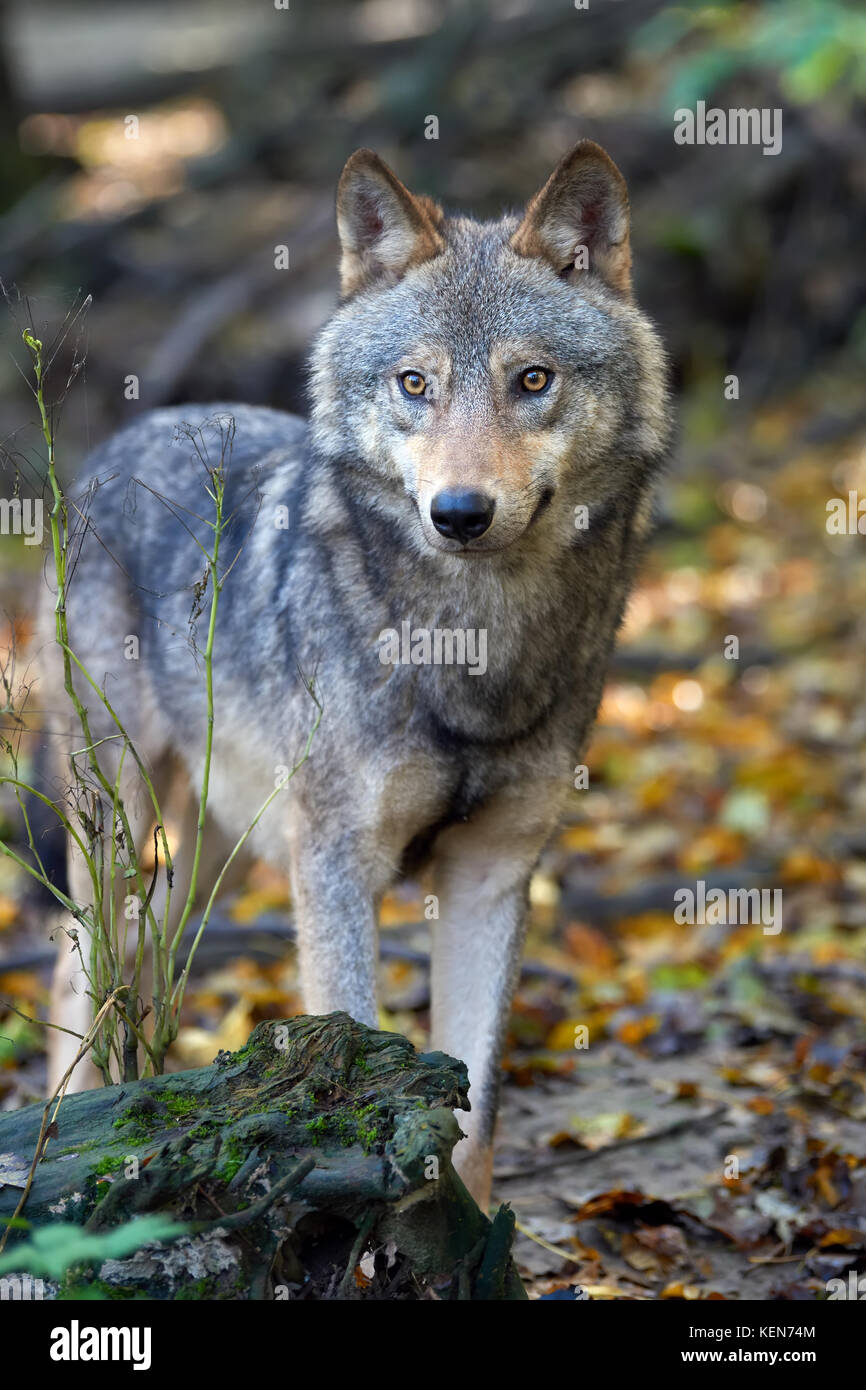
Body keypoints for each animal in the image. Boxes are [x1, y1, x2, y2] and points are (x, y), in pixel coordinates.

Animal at [38, 141, 670, 1208]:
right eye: (414, 383)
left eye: (532, 379)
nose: (459, 512)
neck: (471, 649)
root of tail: (120, 440)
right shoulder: (334, 866)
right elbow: (353, 1042)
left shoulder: (492, 875)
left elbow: (479, 1114)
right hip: (121, 829)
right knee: (78, 970)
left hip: (212, 854)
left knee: (150, 969)